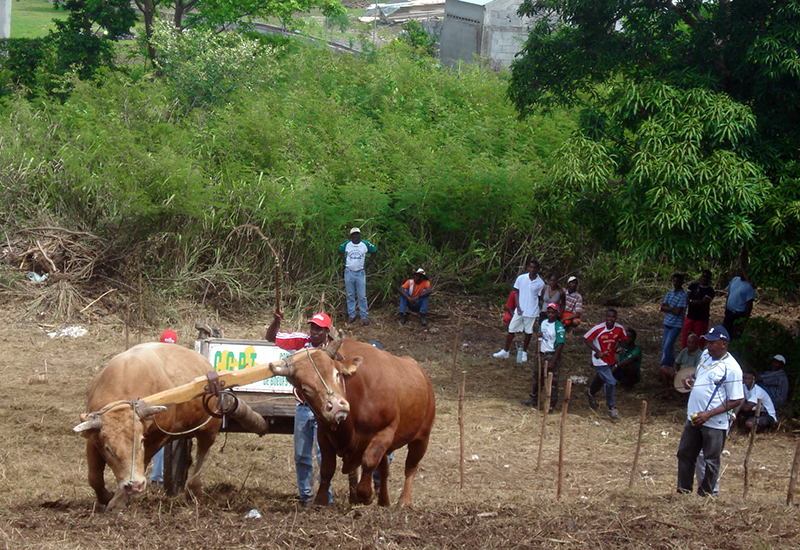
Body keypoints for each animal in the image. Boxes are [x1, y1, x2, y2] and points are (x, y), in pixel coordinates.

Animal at [73, 343, 222, 512]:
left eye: (140, 442)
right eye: (108, 448)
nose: (134, 485)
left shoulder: (157, 439)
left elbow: (143, 461)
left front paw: (118, 500)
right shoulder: (93, 439)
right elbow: (94, 477)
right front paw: (106, 496)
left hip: (209, 427)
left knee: (203, 451)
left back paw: (193, 488)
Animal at [269, 334, 436, 507]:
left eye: (336, 374)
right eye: (305, 388)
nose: (336, 405)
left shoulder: (385, 431)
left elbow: (369, 461)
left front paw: (366, 494)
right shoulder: (323, 434)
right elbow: (327, 467)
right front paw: (320, 500)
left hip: (422, 437)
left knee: (411, 466)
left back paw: (404, 500)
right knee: (384, 469)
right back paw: (384, 500)